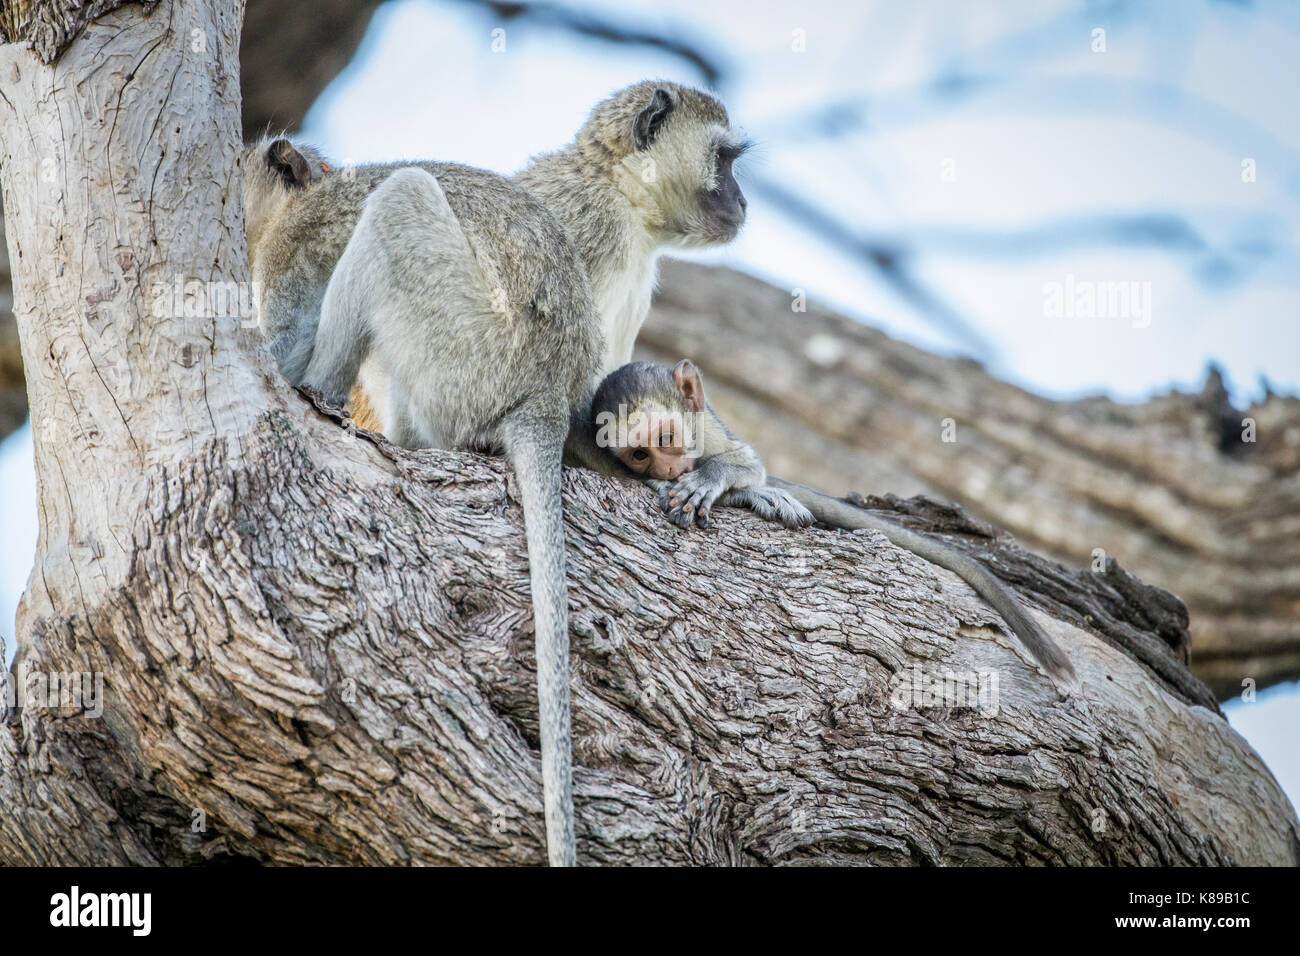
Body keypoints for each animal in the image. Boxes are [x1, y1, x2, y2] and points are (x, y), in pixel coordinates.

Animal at [590, 360, 1075, 680]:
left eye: (666, 439)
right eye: (640, 455)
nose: (669, 469)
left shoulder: (706, 427)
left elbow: (746, 464)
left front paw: (715, 480)